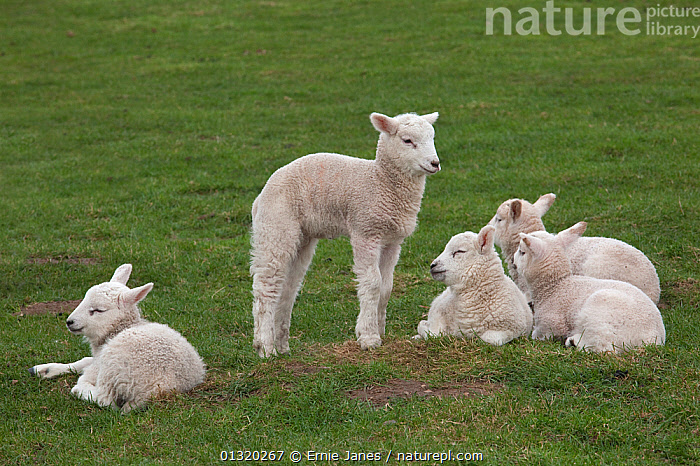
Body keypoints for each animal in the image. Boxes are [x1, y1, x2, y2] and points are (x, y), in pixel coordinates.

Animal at [29, 264, 206, 413]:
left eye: (98, 310)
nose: (69, 322)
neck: (119, 329)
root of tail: (157, 388)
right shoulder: (98, 359)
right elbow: (84, 361)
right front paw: (44, 370)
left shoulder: (101, 362)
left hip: (114, 366)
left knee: (105, 399)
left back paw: (80, 389)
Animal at [250, 111, 440, 357]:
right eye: (407, 141)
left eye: (432, 137)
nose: (435, 163)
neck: (380, 181)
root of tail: (261, 196)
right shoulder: (366, 230)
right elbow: (372, 283)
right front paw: (368, 336)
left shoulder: (392, 240)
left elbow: (386, 286)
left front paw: (380, 330)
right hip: (276, 226)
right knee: (266, 286)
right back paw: (265, 346)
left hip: (301, 237)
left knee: (288, 288)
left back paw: (281, 344)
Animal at [515, 222, 665, 352]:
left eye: (522, 252)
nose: (514, 261)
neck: (555, 287)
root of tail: (653, 338)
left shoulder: (549, 325)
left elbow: (538, 335)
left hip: (602, 314)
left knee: (605, 347)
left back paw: (574, 341)